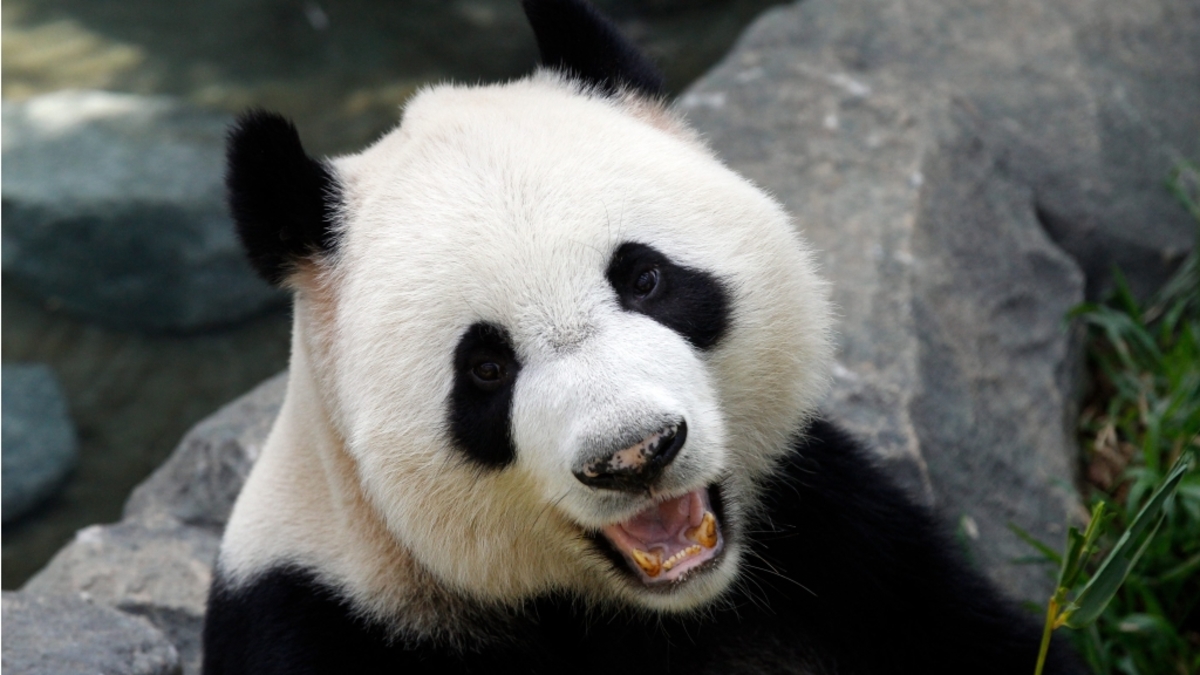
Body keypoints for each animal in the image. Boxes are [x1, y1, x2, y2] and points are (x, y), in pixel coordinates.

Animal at [203, 1, 1087, 673]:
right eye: (485, 366)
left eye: (645, 279)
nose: (633, 454)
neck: (658, 607)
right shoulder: (327, 617)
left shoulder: (843, 541)